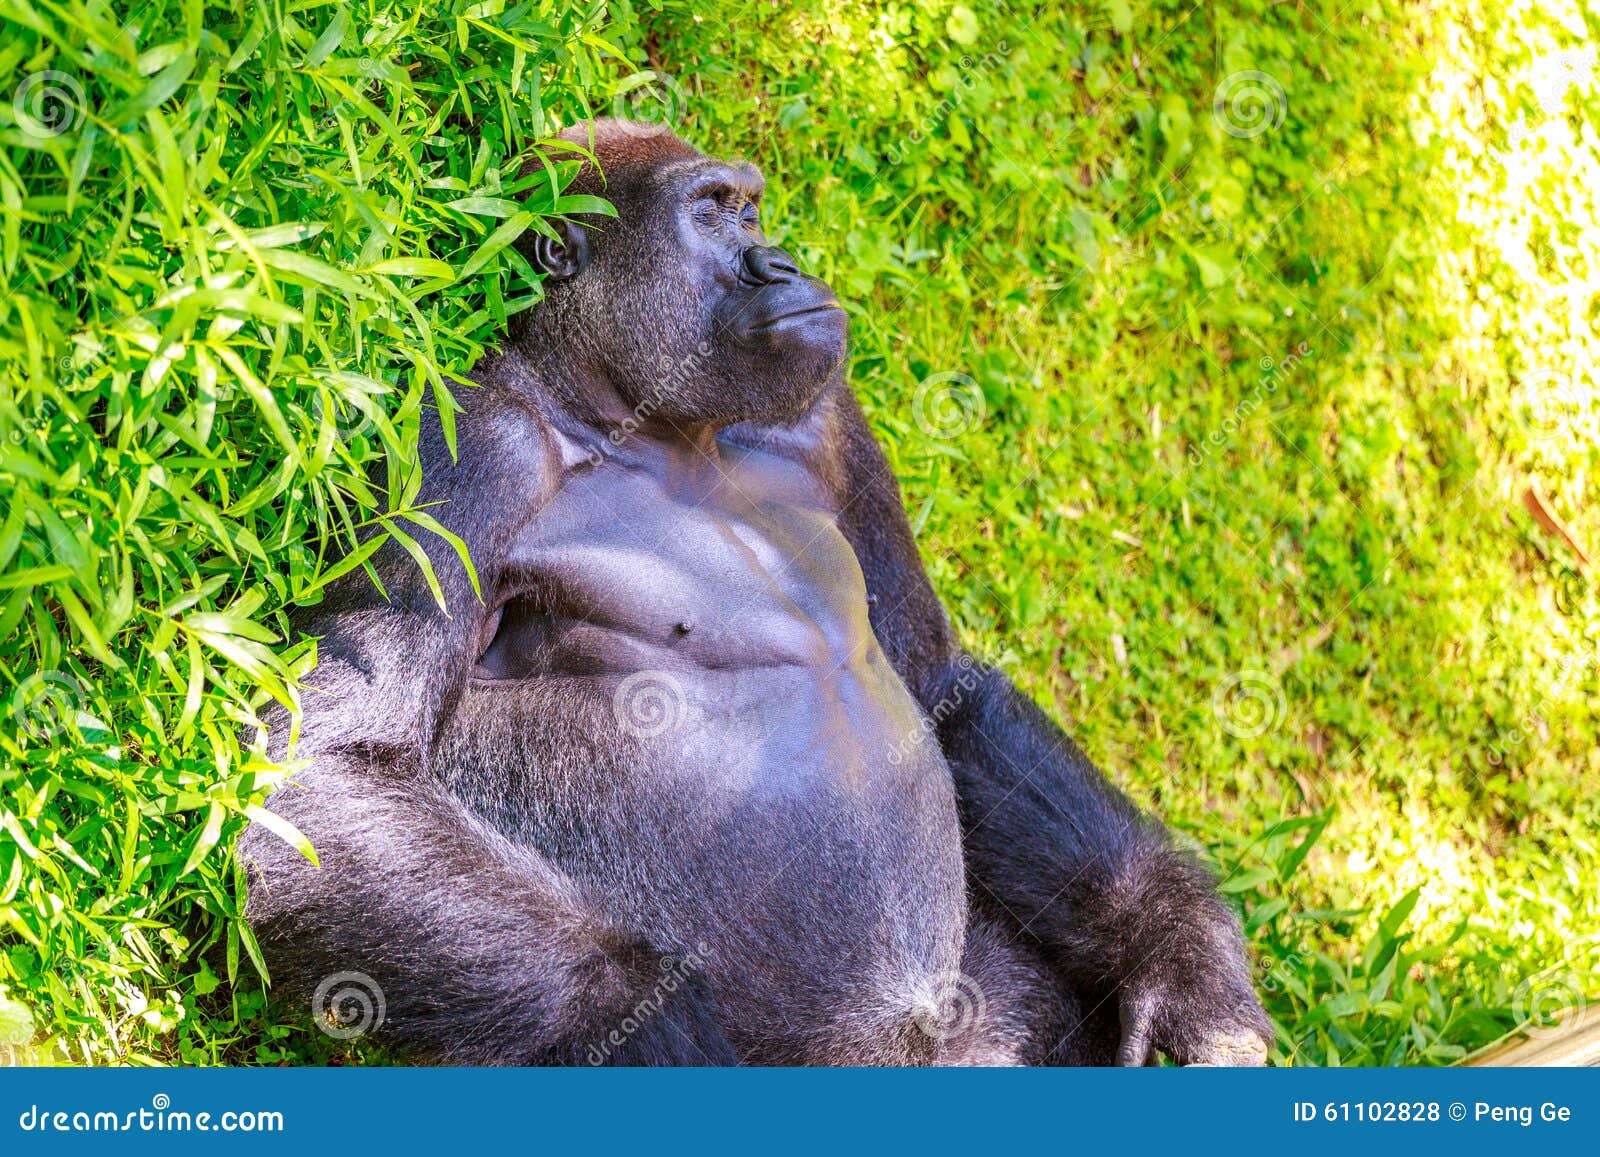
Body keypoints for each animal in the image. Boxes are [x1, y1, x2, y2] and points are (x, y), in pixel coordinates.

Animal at [240, 119, 1271, 1067]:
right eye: (709, 211)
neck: (644, 426)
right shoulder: (471, 438)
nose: (780, 260)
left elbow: (937, 681)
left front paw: (1176, 952)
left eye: (753, 210)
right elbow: (324, 765)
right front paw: (652, 1028)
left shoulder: (826, 417)